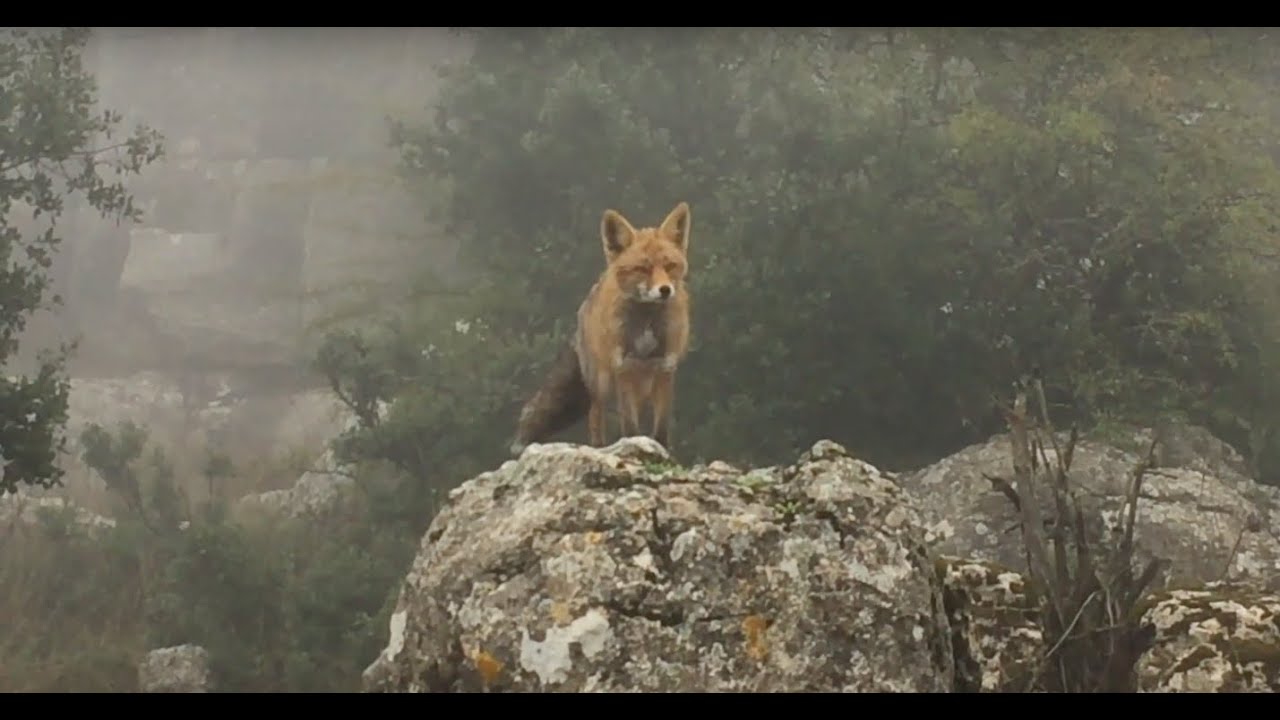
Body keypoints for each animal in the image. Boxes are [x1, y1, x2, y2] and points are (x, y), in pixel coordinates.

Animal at [510, 201, 693, 455]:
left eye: (670, 266)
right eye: (642, 269)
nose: (665, 290)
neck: (646, 326)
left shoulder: (666, 368)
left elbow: (661, 429)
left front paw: (662, 451)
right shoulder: (624, 369)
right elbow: (630, 426)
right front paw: (635, 446)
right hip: (601, 384)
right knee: (595, 417)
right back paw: (599, 448)